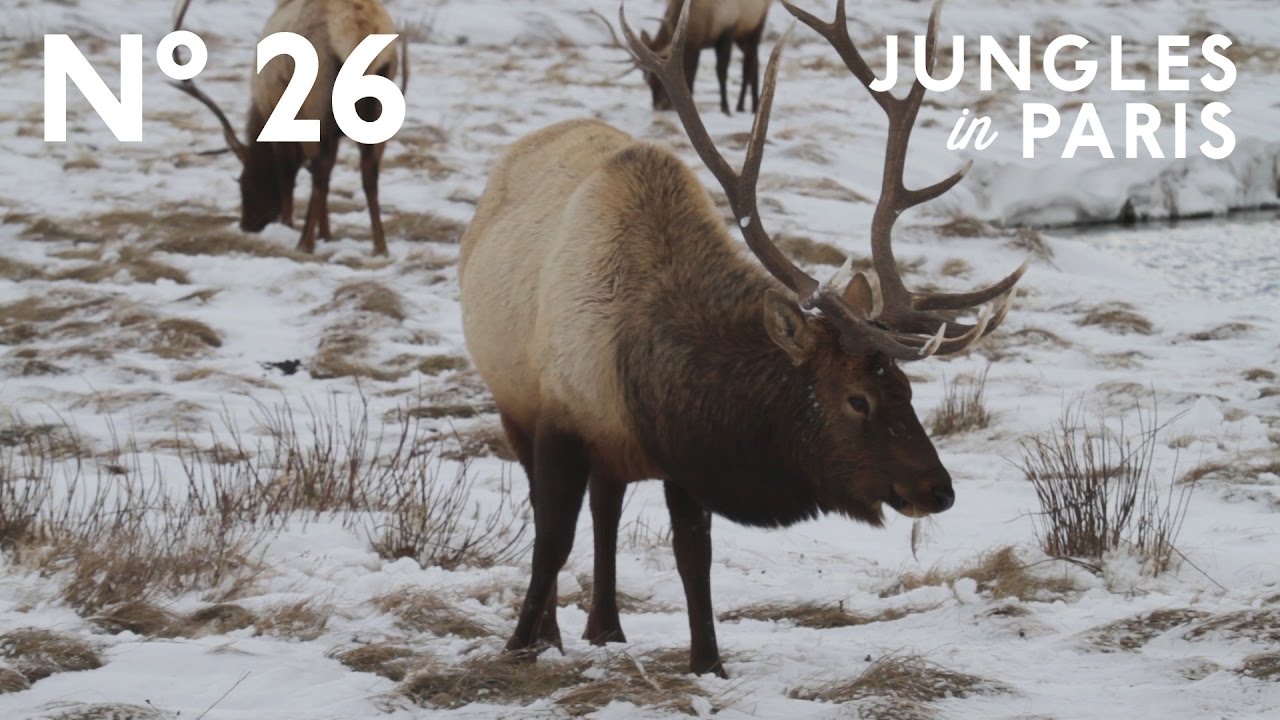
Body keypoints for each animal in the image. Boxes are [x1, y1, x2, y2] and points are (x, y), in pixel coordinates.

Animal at [169, 0, 406, 255]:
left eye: (244, 183)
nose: (248, 224)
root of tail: (359, 27)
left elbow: (287, 174)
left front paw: (289, 224)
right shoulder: (331, 134)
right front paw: (326, 234)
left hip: (315, 102)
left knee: (320, 168)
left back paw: (304, 242)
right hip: (376, 109)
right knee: (368, 170)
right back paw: (380, 246)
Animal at [629, 0, 773, 115]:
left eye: (658, 82)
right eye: (646, 80)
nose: (659, 106)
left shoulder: (727, 31)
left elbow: (721, 71)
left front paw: (725, 108)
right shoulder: (696, 44)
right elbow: (692, 71)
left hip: (755, 25)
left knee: (749, 63)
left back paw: (742, 106)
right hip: (742, 37)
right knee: (755, 62)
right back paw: (754, 105)